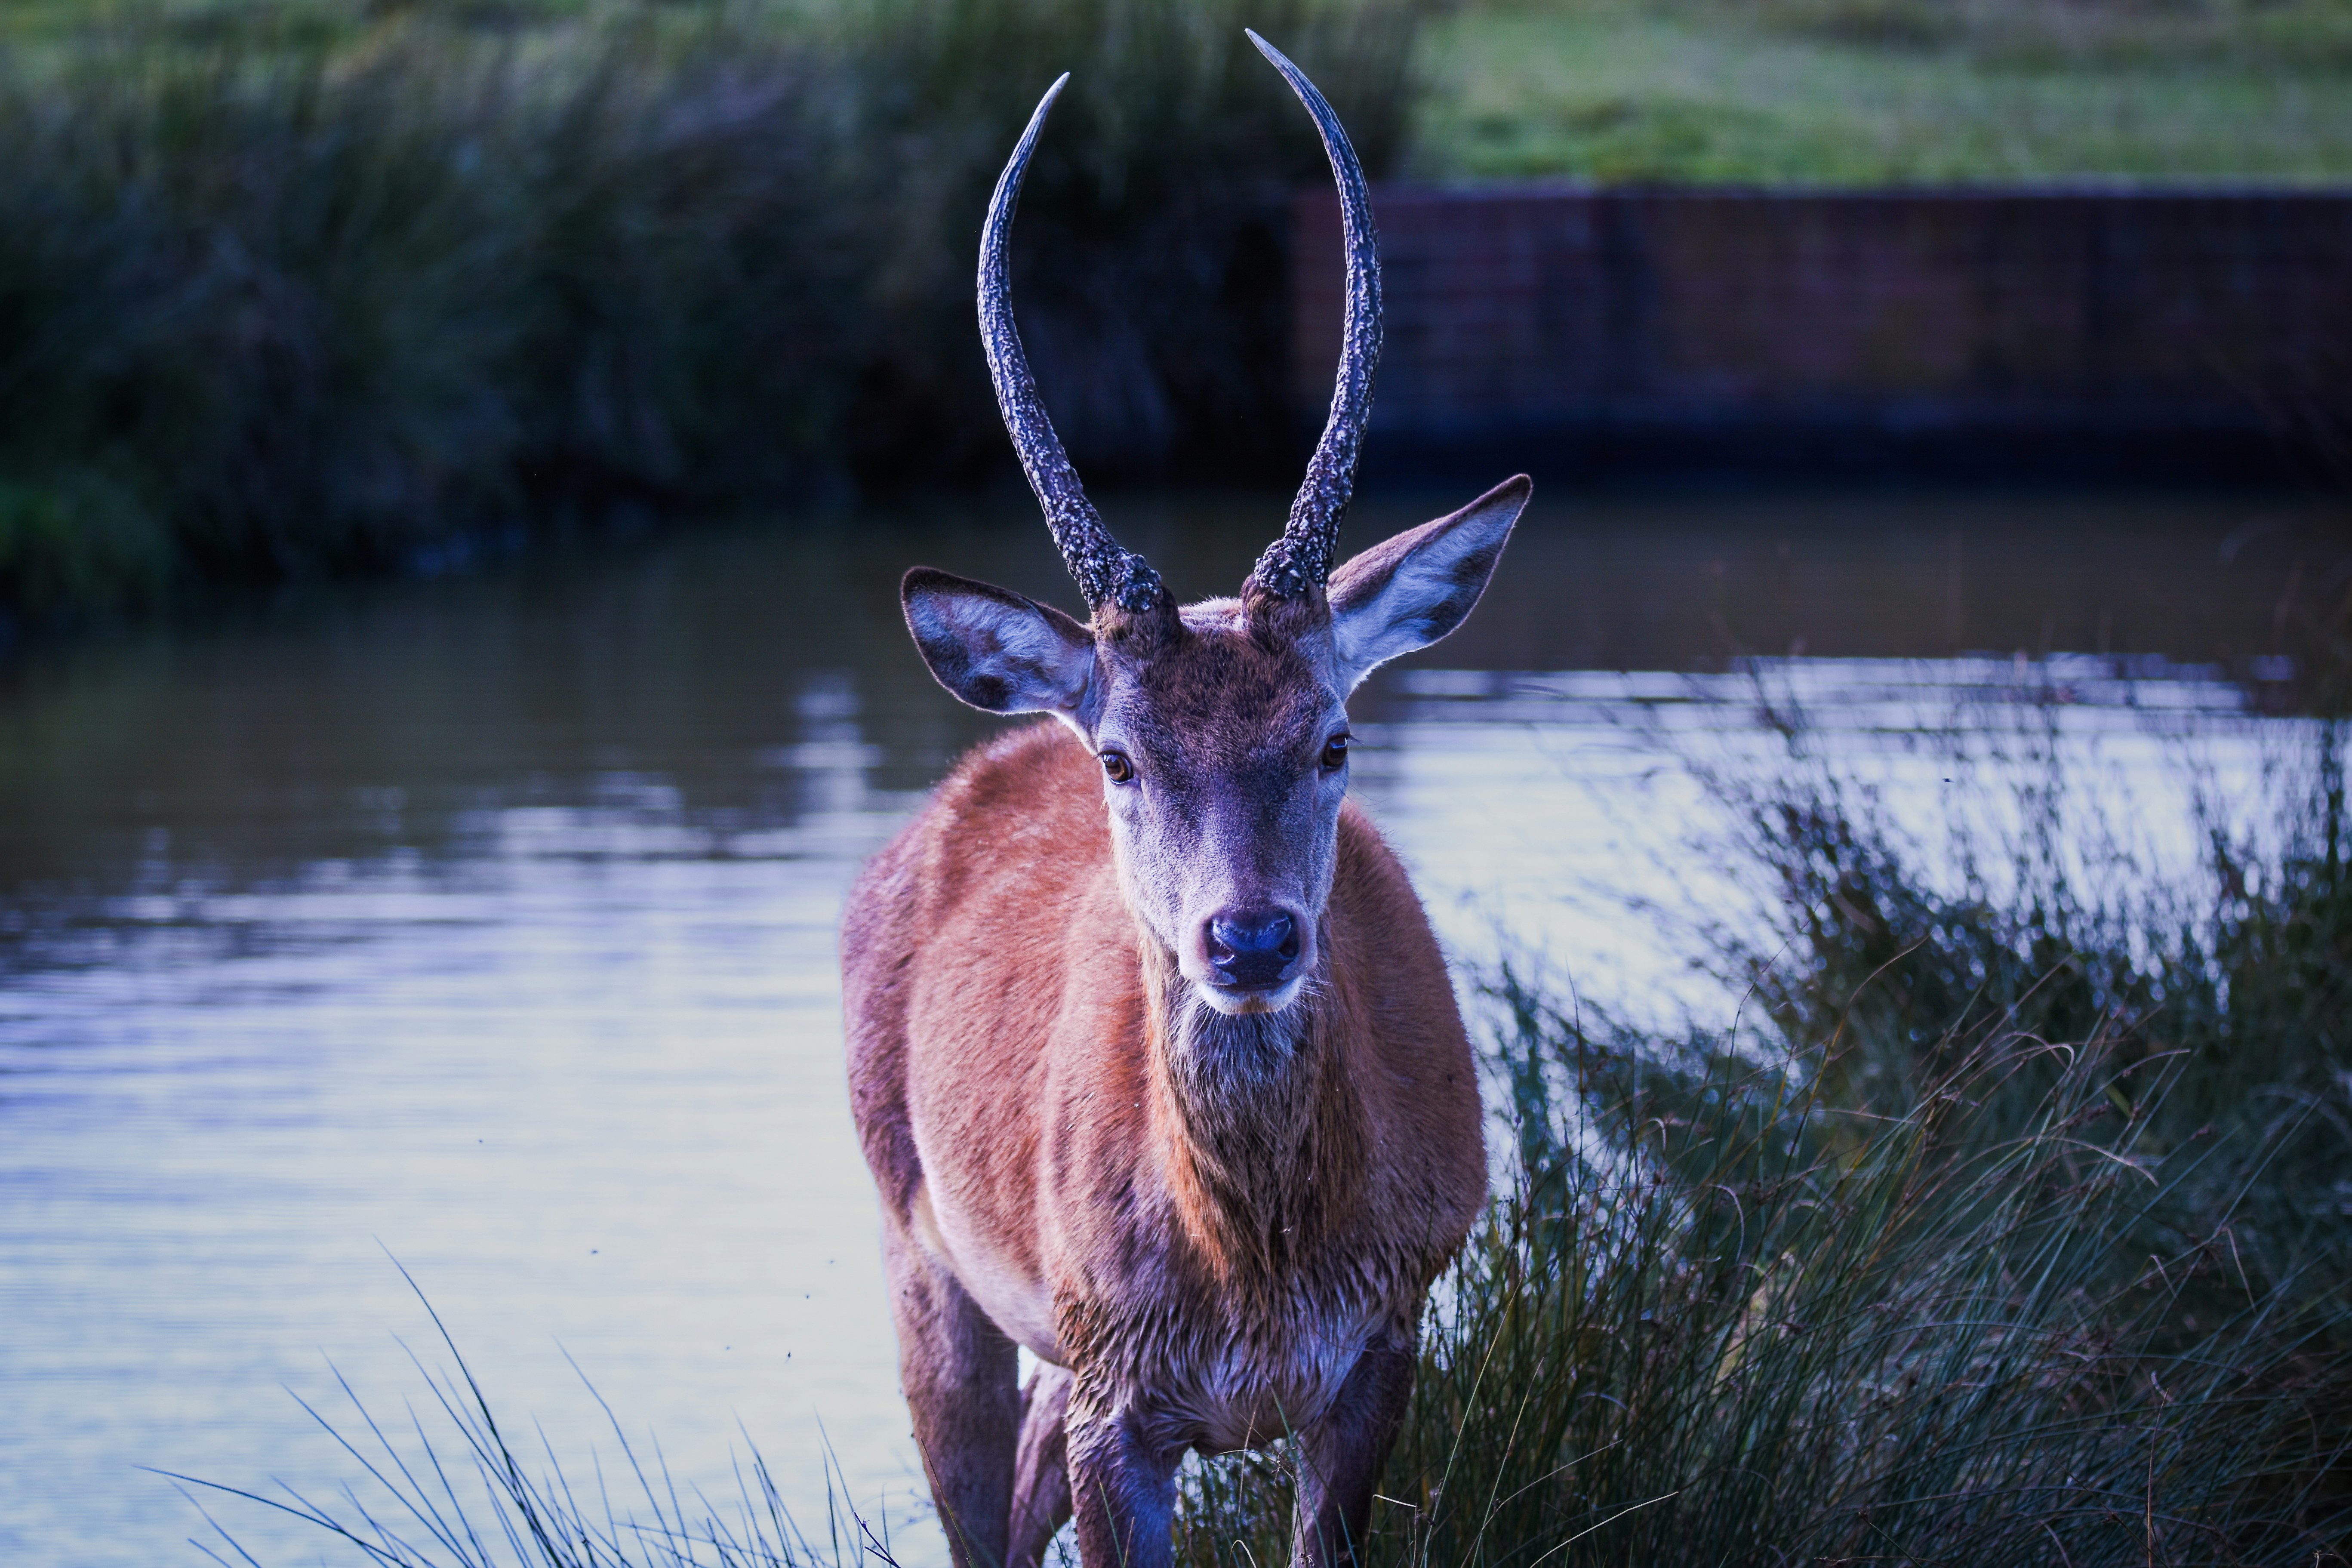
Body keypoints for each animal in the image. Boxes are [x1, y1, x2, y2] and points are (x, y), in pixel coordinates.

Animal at [842, 32, 1529, 1568]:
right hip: (923, 1257)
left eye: (1332, 737)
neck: (1256, 1278)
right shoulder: (1112, 1387)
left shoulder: (1385, 1350)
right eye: (1124, 758)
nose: (1250, 938)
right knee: (975, 1508)